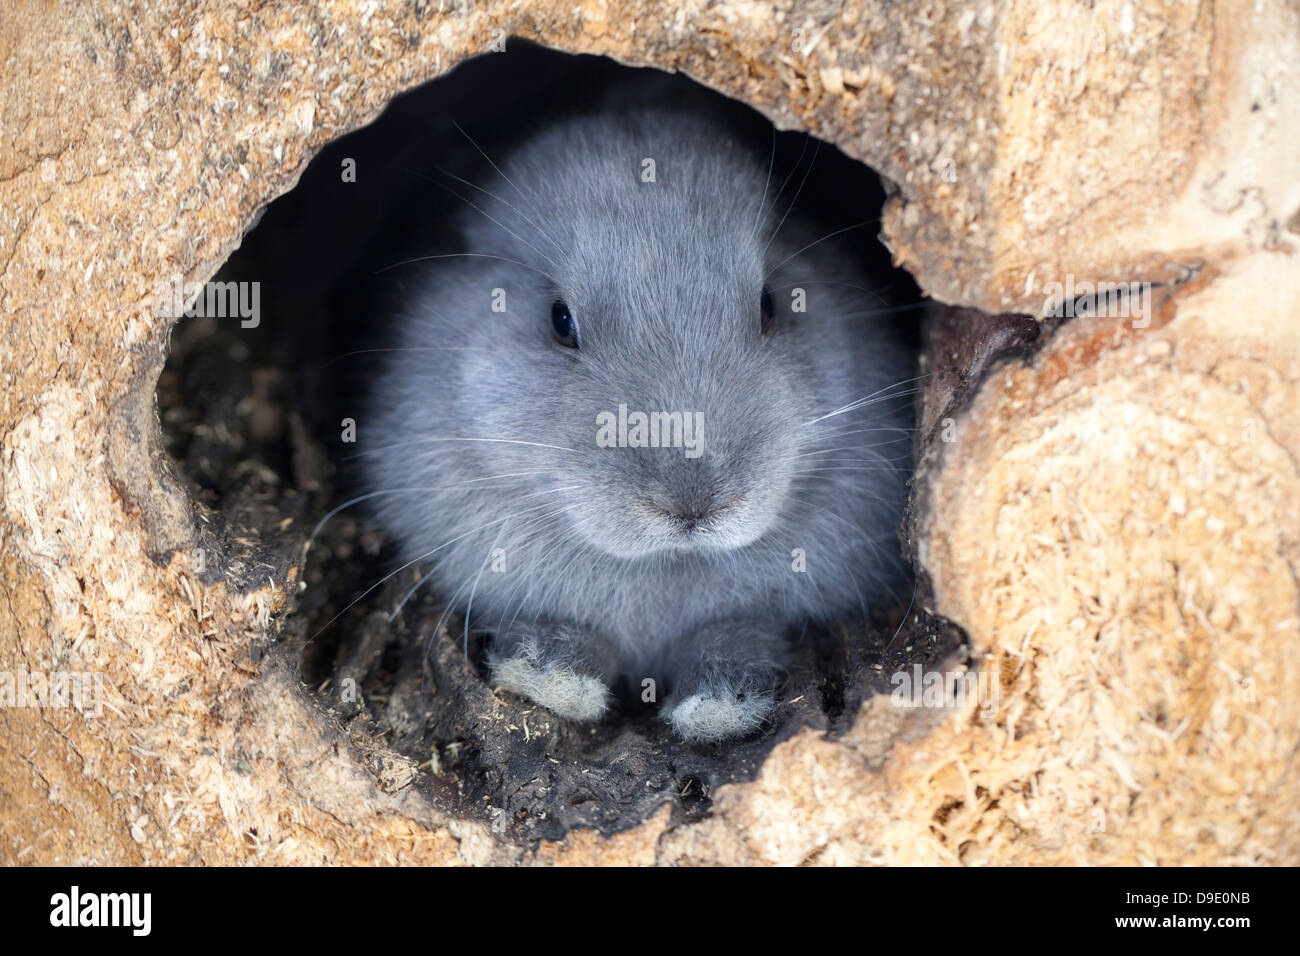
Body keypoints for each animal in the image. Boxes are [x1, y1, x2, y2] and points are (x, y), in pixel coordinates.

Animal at [359, 76, 915, 743]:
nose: (693, 507)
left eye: (770, 305)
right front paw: (551, 676)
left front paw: (719, 702)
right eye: (560, 321)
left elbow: (738, 632)